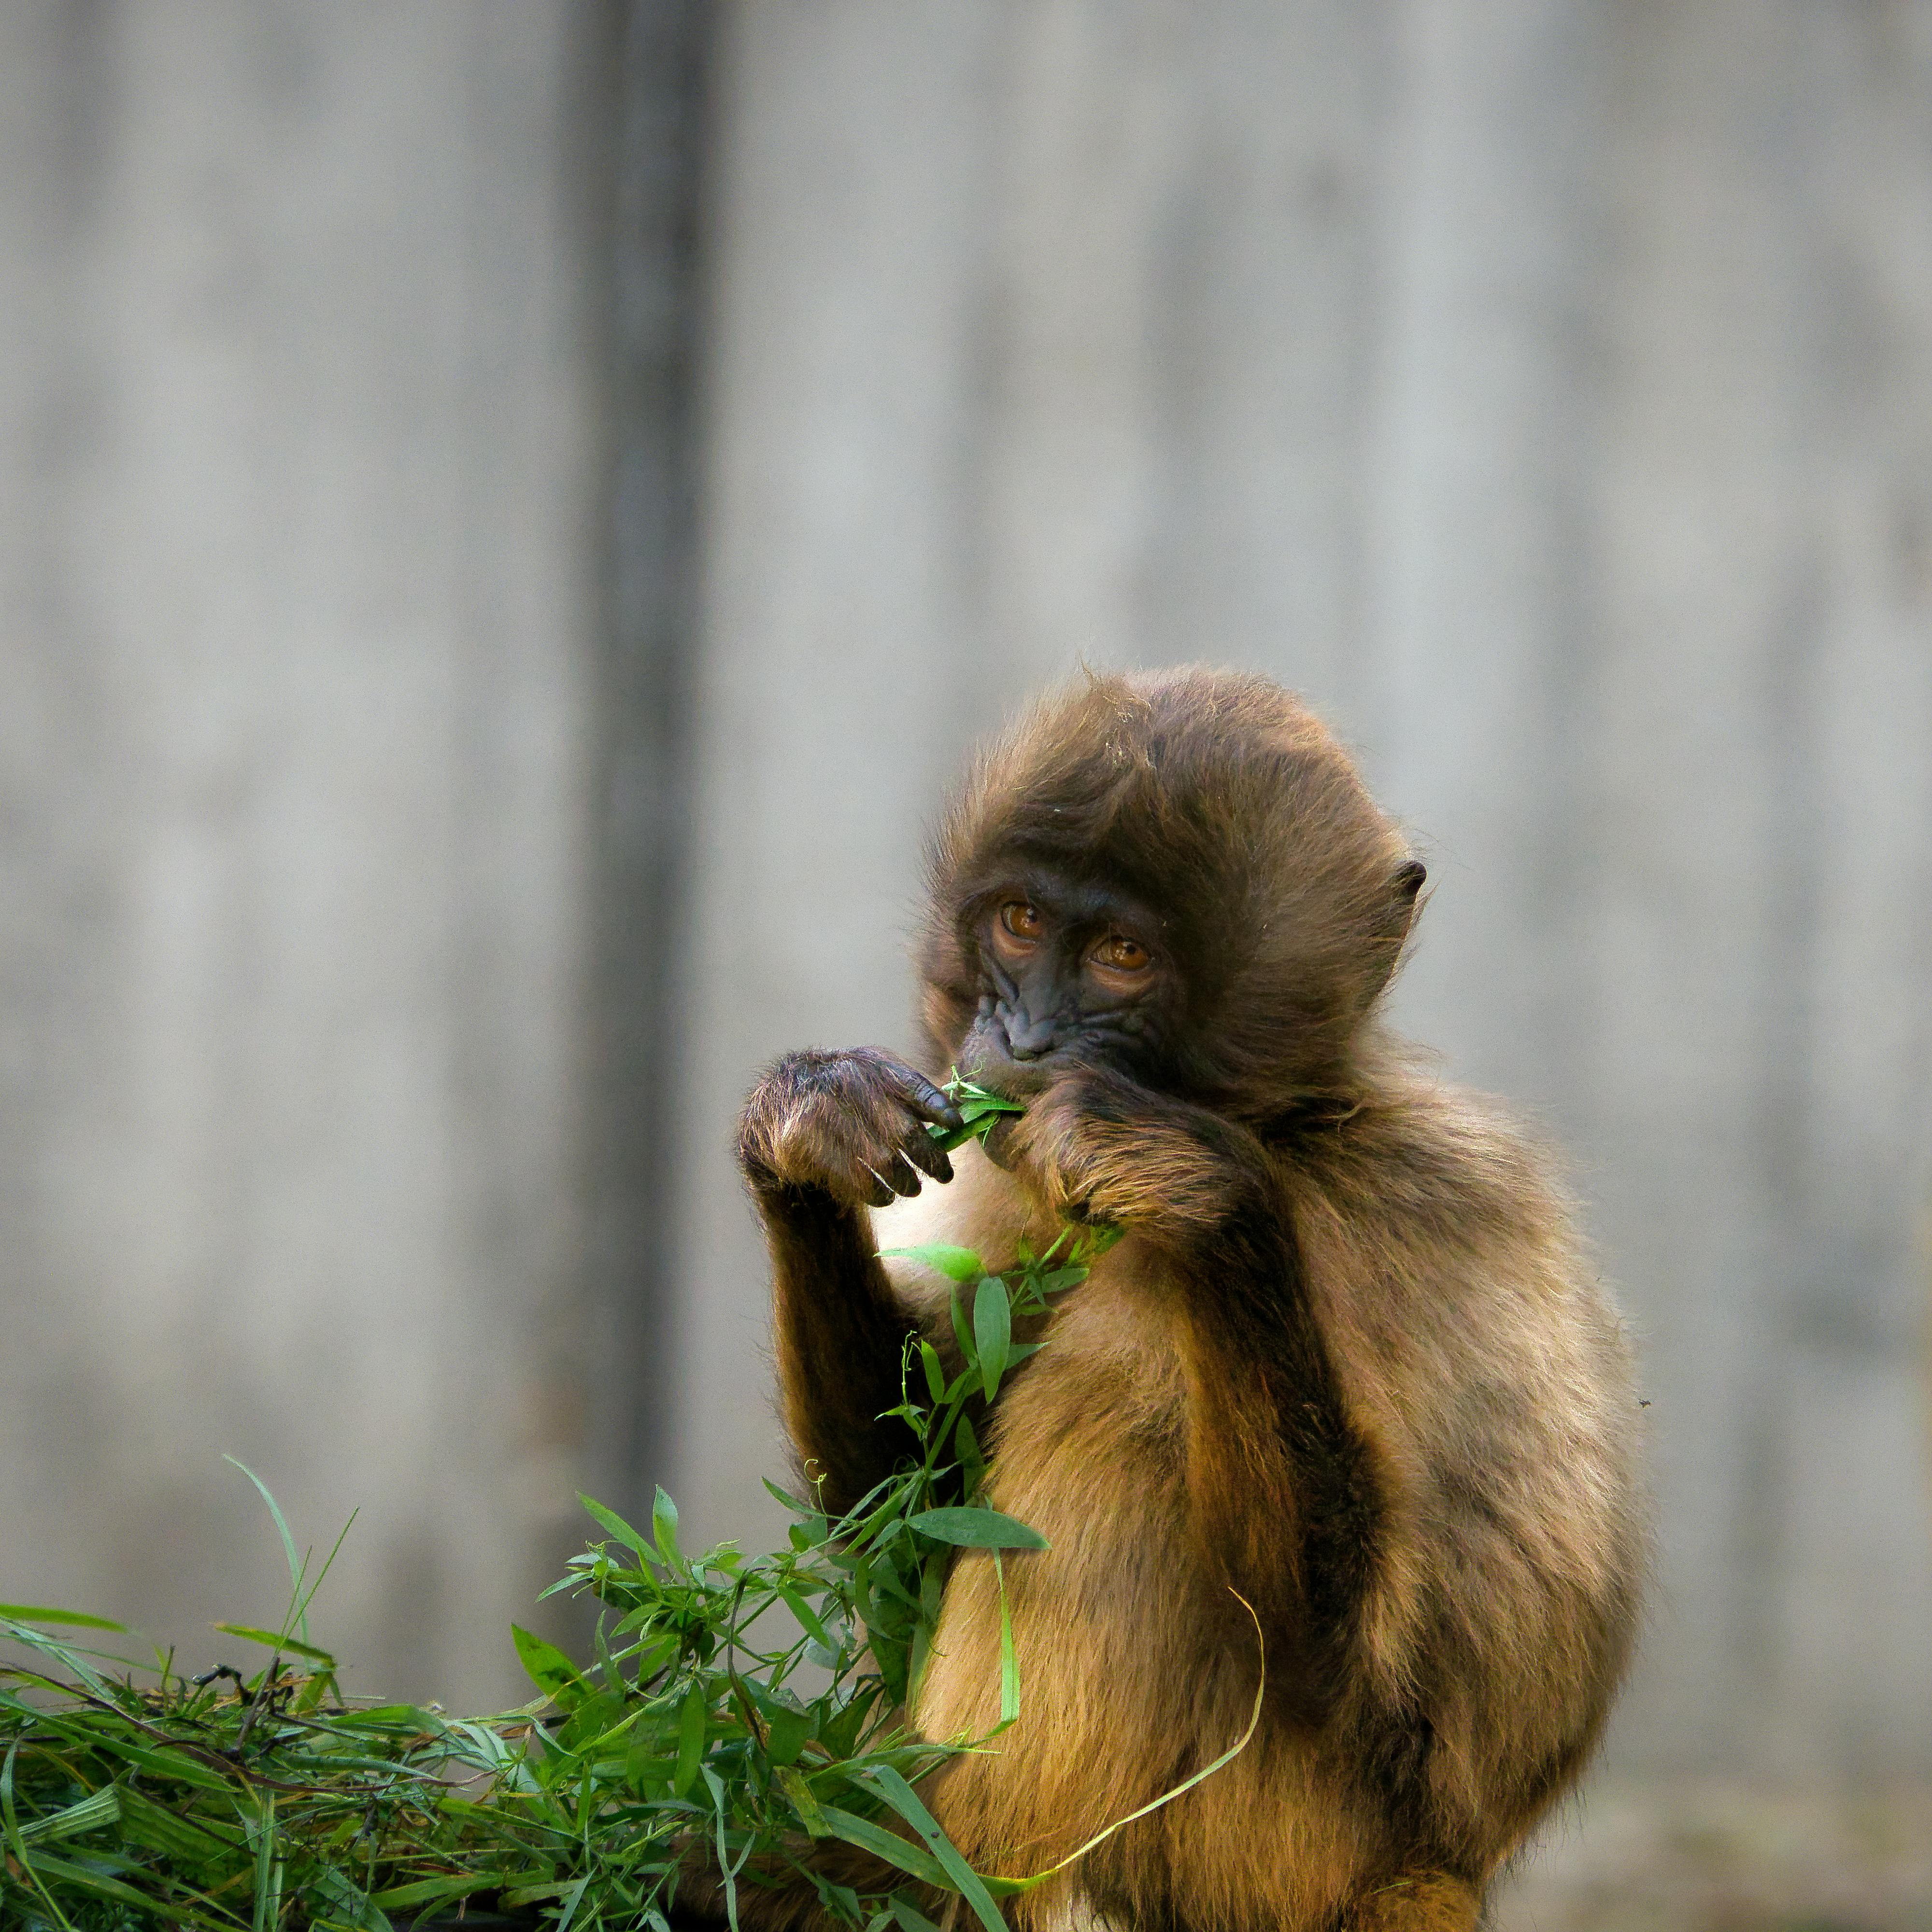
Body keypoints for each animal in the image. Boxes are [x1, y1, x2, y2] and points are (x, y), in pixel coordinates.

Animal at [721, 668, 1644, 1932]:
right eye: (1019, 924)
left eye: (1120, 953)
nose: (1022, 1037)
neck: (1288, 1124)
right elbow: (911, 1516)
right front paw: (810, 1125)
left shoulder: (1424, 1203)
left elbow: (1414, 1709)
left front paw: (1194, 1196)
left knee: (1122, 1396)